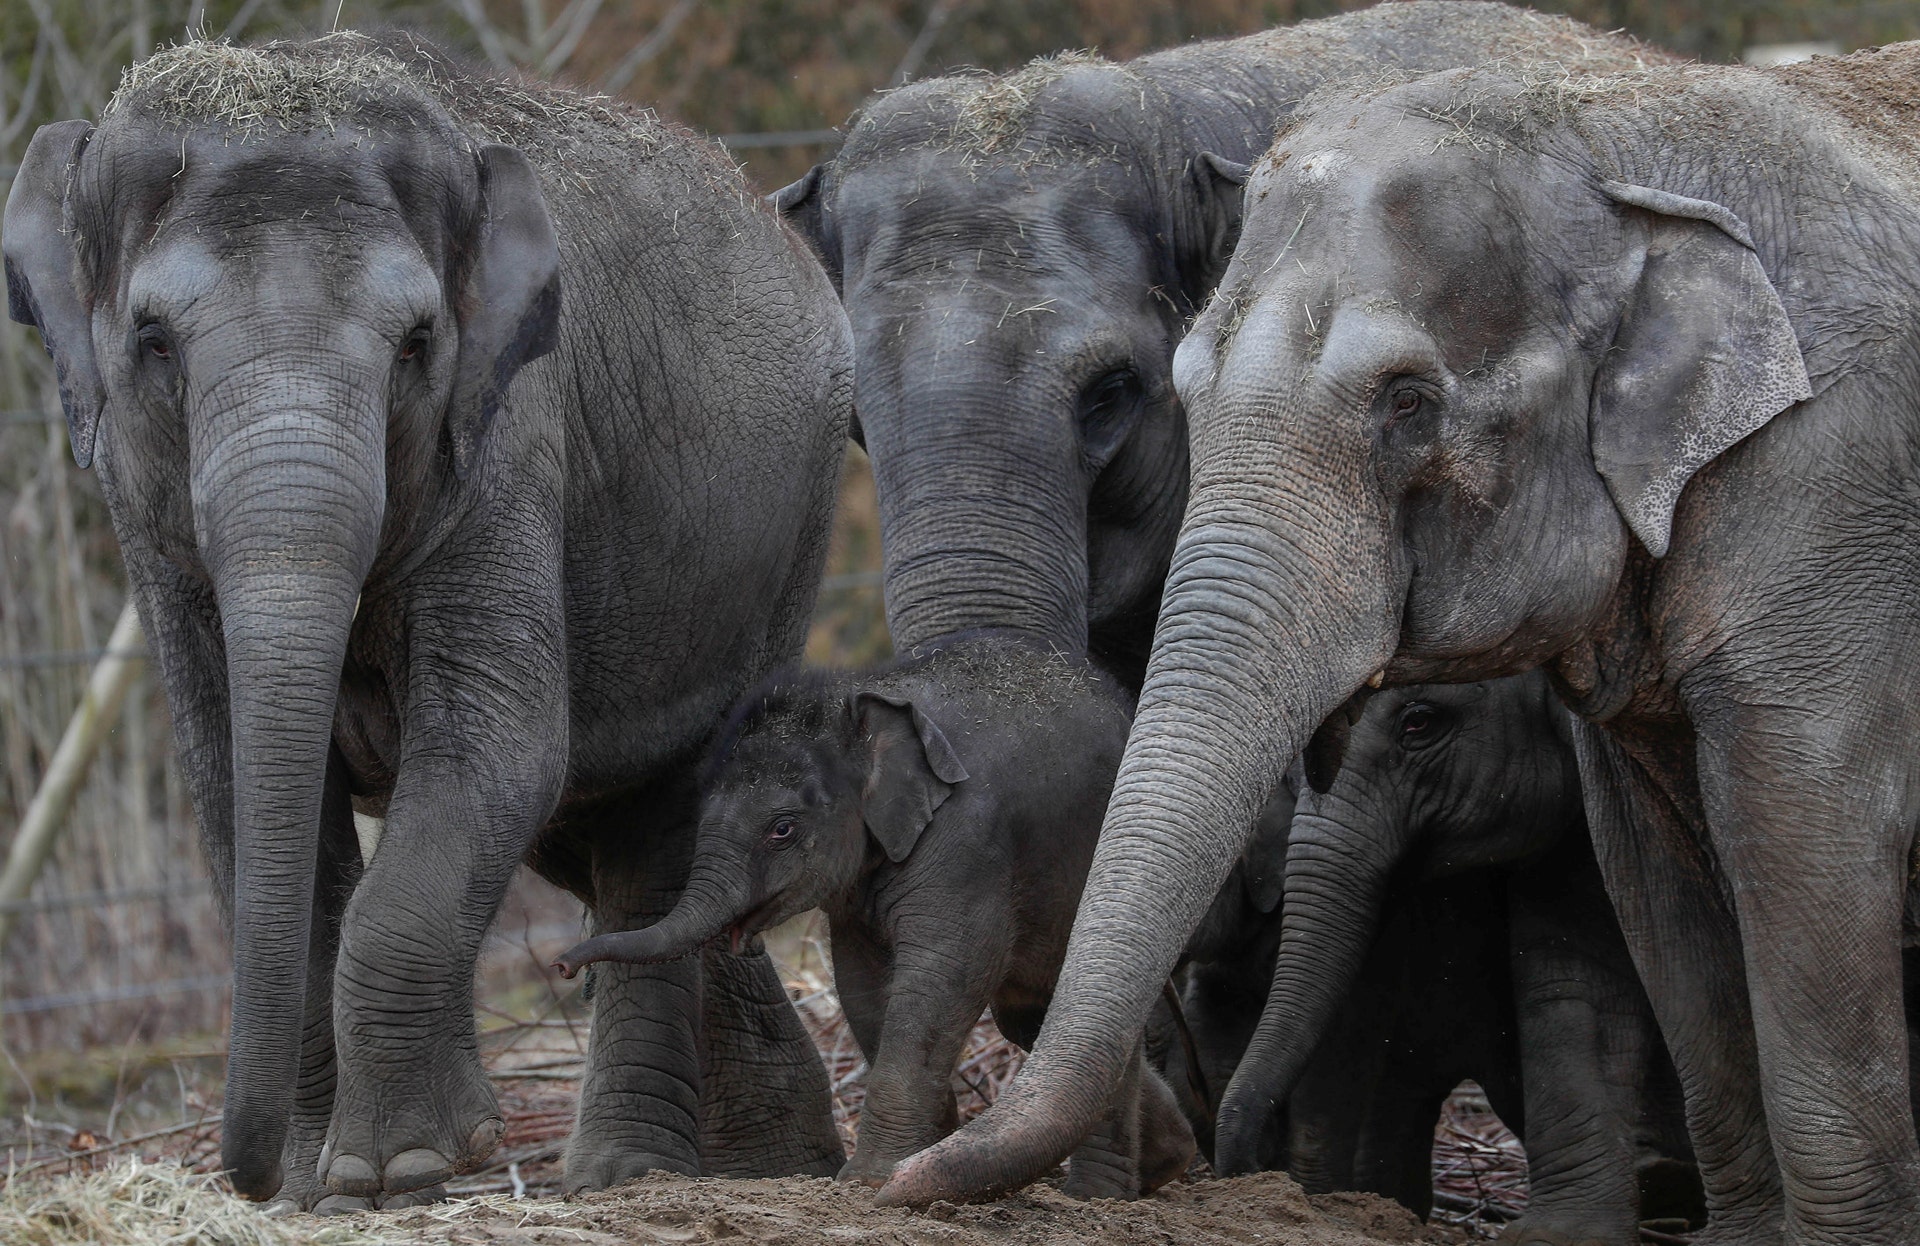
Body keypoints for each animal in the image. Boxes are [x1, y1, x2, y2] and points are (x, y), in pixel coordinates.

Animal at [2, 34, 849, 1209]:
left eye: (415, 343)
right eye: (153, 339)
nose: (249, 1177)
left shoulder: (507, 442)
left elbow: (497, 751)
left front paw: (391, 1170)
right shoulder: (148, 529)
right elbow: (232, 781)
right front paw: (340, 1179)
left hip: (774, 556)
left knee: (653, 820)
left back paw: (626, 1171)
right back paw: (776, 1154)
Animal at [554, 633, 1197, 1199]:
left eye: (782, 829)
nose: (563, 966)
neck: (859, 705)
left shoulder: (966, 844)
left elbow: (944, 974)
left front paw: (872, 1180)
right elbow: (862, 986)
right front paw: (911, 1160)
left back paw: (1098, 1196)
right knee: (1033, 1018)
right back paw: (1165, 1163)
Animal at [876, 41, 1920, 1246]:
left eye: (1409, 403)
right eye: (1179, 390)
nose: (899, 1180)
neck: (1611, 134)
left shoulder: (1833, 492)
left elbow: (1803, 837)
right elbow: (1654, 880)